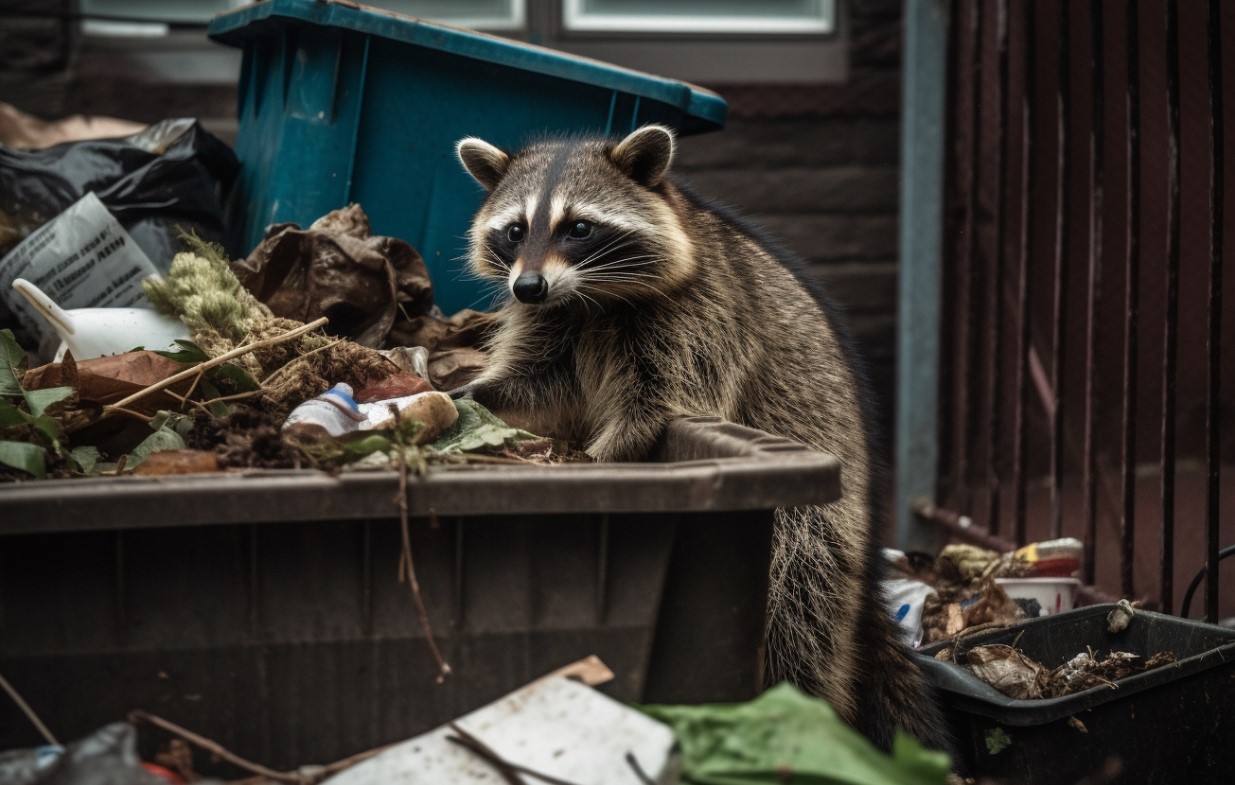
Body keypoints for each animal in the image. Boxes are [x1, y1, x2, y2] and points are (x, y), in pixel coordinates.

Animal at [453, 124, 951, 752]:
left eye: (579, 228)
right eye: (515, 230)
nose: (528, 286)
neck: (589, 297)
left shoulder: (703, 314)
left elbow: (658, 408)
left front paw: (596, 460)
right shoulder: (550, 320)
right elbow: (535, 385)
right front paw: (463, 395)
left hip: (823, 523)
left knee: (797, 599)